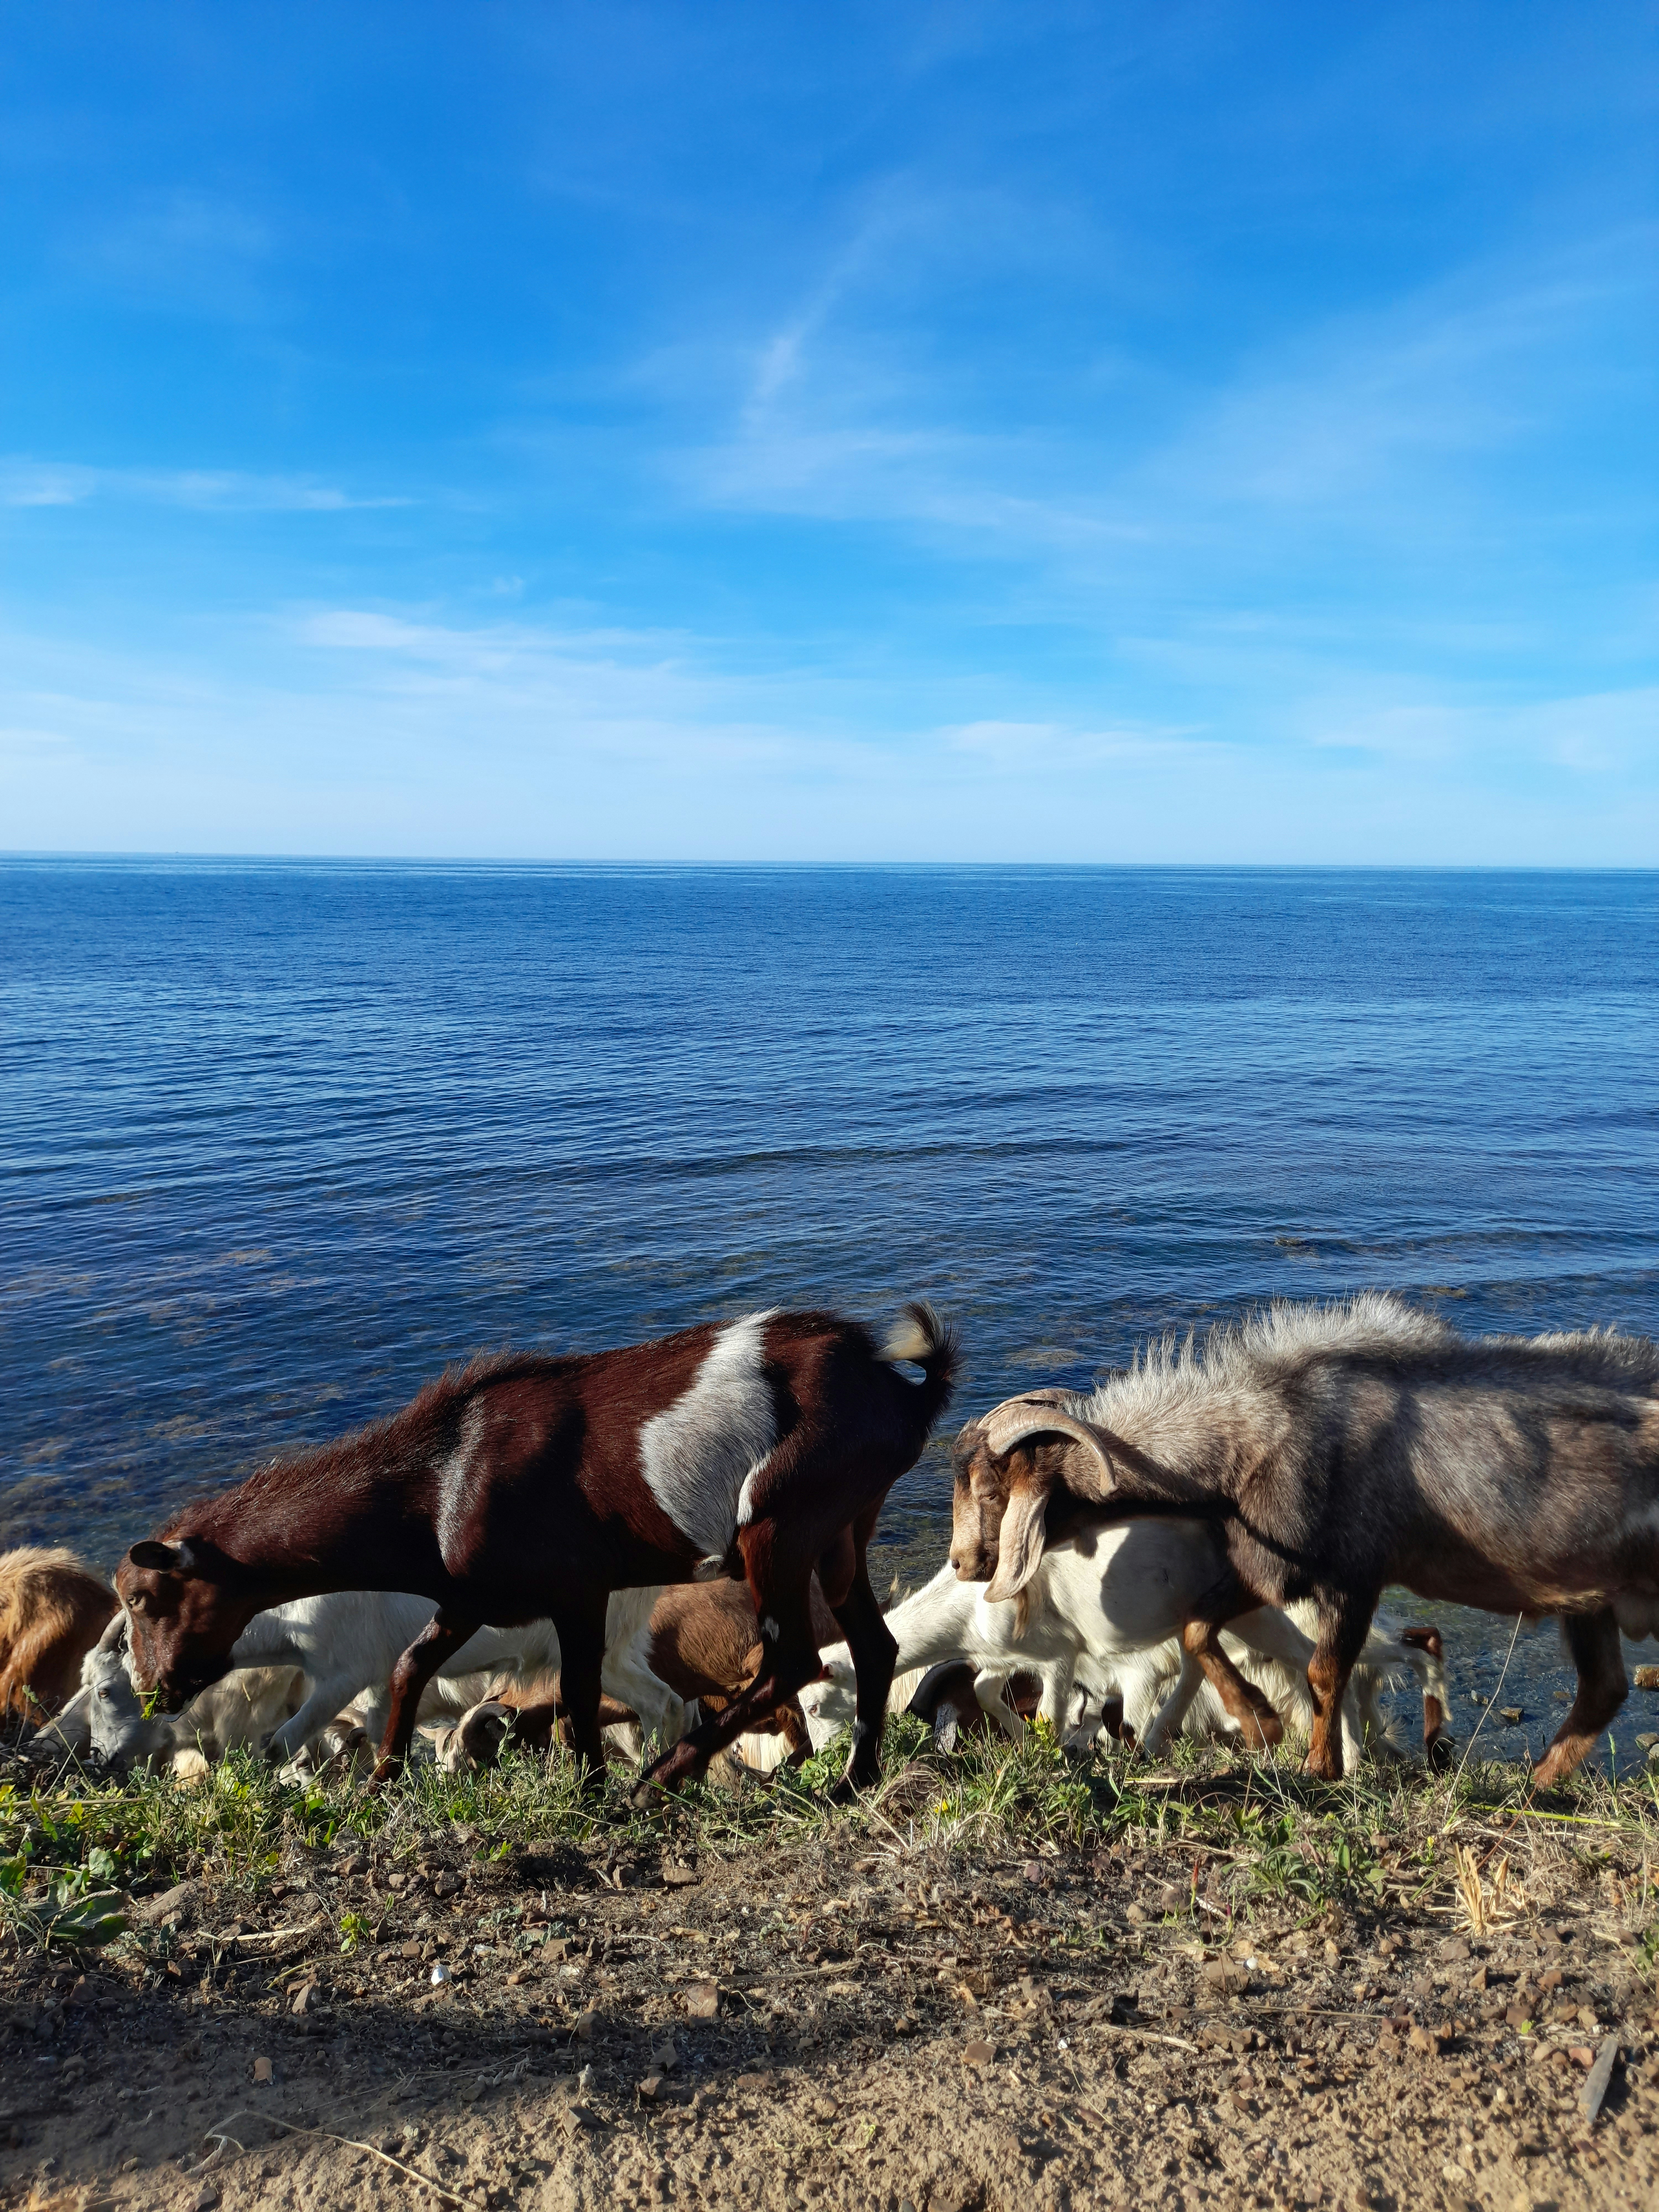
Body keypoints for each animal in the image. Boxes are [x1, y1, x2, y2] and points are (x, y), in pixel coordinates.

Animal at [116, 1303, 957, 1794]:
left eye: (146, 1600)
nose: (155, 1690)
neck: (445, 1478)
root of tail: (901, 1388)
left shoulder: (577, 1590)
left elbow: (579, 1696)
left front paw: (591, 1793)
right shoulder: (471, 1598)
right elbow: (409, 1666)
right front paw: (385, 1779)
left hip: (781, 1522)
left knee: (792, 1659)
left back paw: (659, 1783)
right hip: (842, 1527)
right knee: (874, 1645)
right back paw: (854, 1779)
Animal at [954, 1293, 1659, 1785]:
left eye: (990, 1489)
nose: (962, 1562)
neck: (1263, 1428)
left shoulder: (1353, 1573)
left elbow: (1325, 1669)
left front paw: (1320, 1766)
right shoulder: (1271, 1567)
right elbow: (1198, 1629)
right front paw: (1260, 1722)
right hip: (1591, 1598)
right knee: (1604, 1691)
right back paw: (1532, 1784)